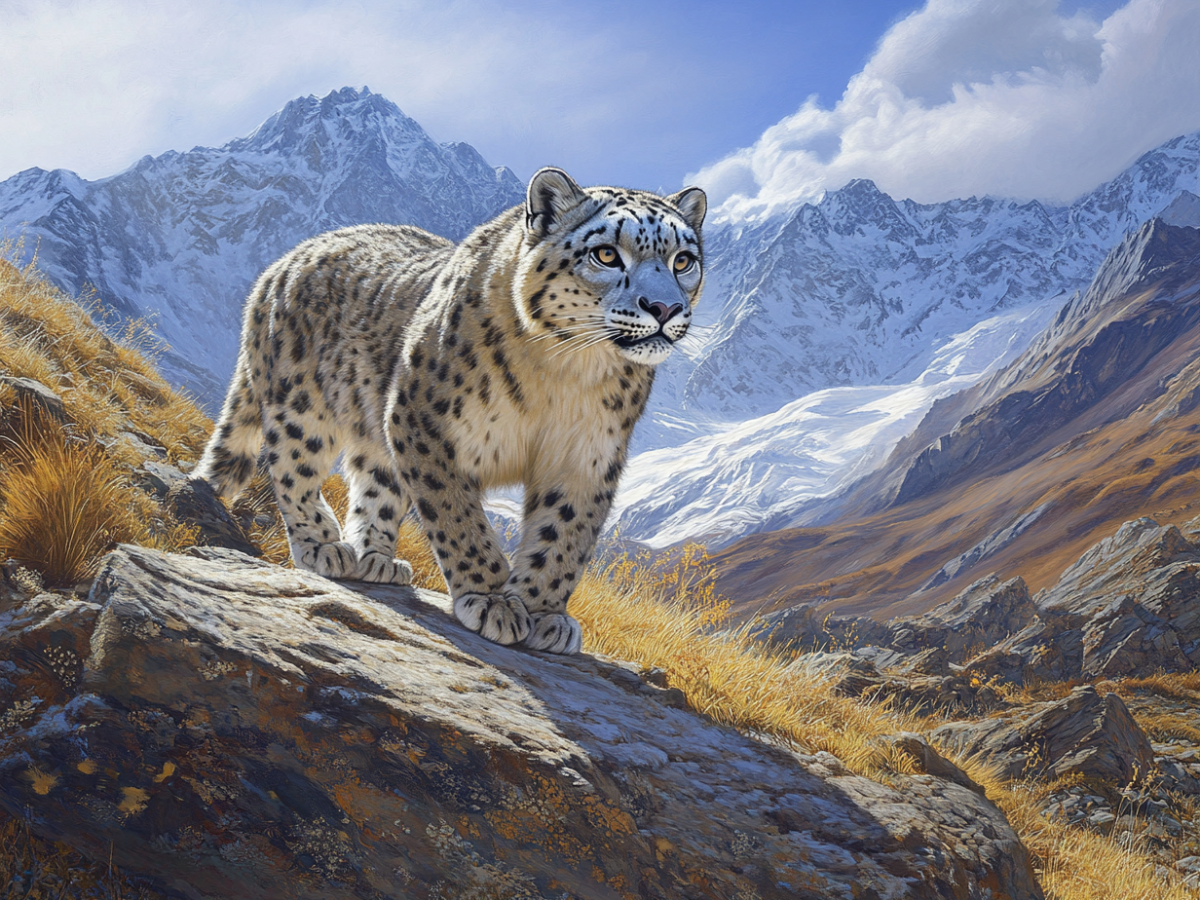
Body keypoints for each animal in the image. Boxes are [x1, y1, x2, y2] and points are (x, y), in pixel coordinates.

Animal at [192, 167, 706, 654]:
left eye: (683, 260)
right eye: (606, 255)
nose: (664, 307)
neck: (566, 371)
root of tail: (283, 261)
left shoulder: (587, 453)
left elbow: (563, 535)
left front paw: (543, 613)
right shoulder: (425, 420)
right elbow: (458, 517)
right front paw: (493, 600)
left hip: (373, 430)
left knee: (375, 484)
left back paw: (377, 560)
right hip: (302, 406)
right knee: (293, 468)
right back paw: (324, 546)